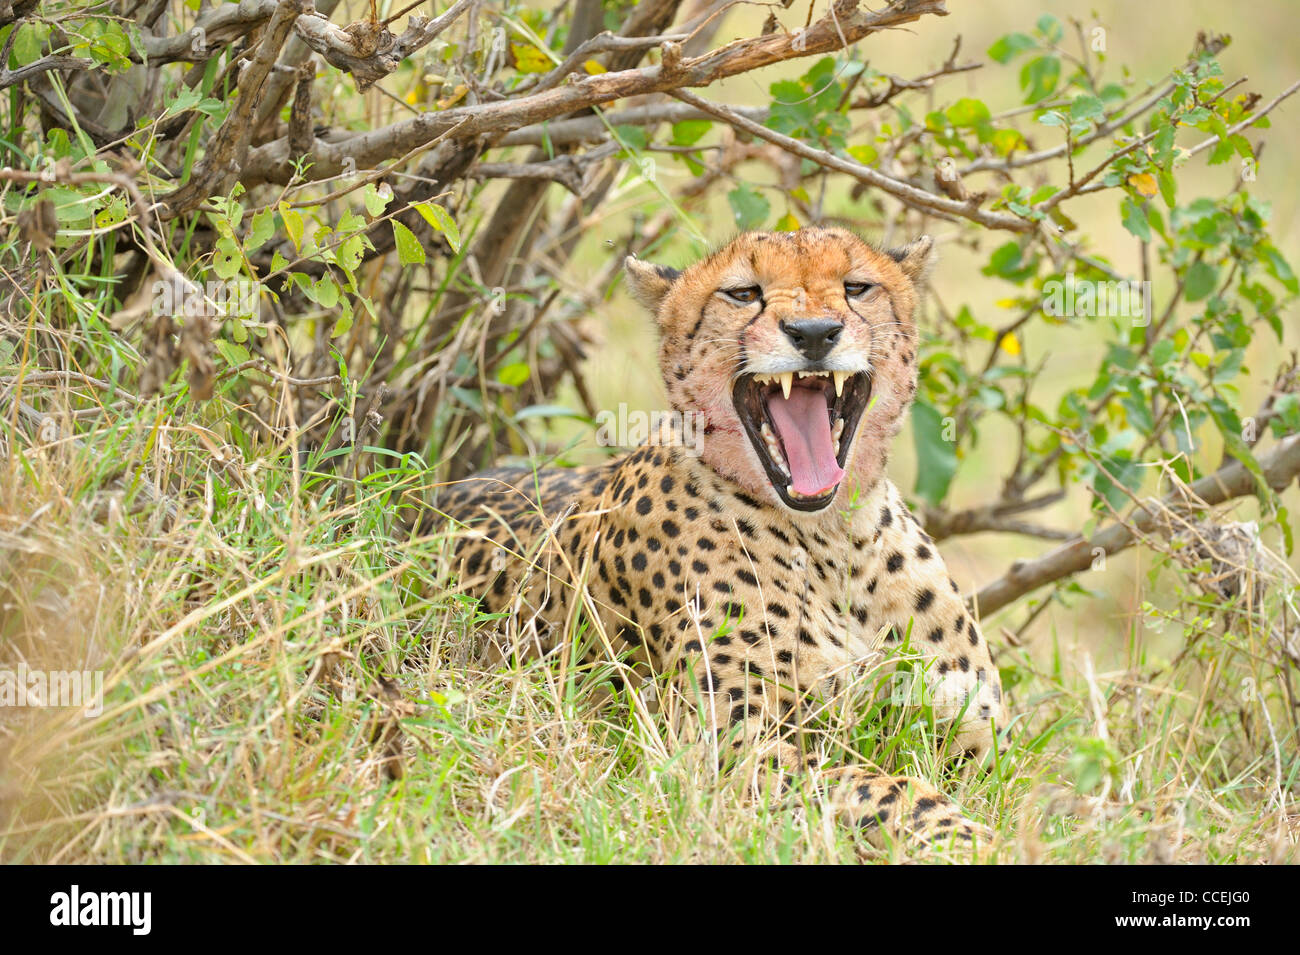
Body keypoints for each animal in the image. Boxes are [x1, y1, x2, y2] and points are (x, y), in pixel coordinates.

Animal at [435, 226, 1008, 848]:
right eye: (743, 293)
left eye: (857, 287)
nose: (813, 334)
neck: (836, 540)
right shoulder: (724, 746)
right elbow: (887, 786)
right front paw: (968, 838)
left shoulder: (982, 745)